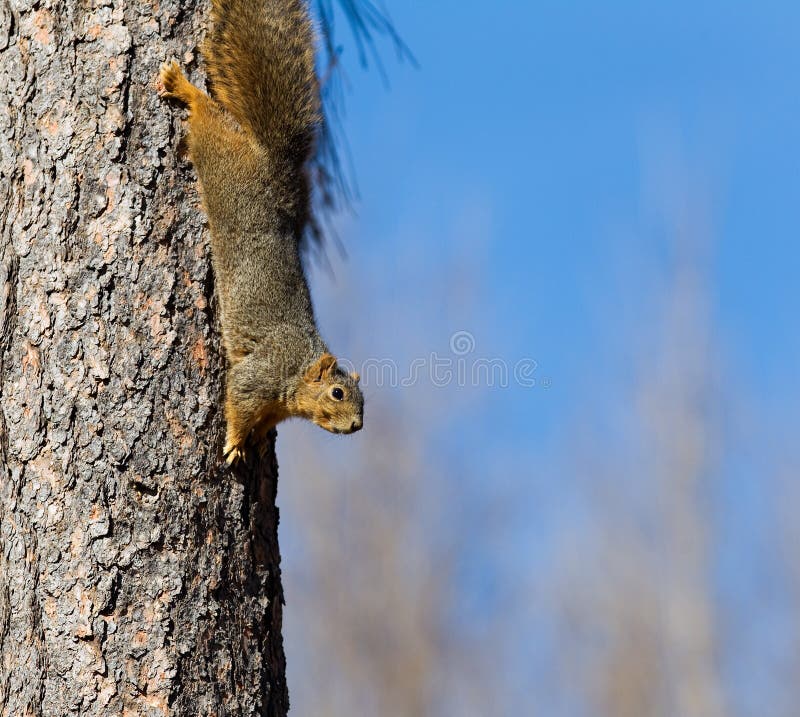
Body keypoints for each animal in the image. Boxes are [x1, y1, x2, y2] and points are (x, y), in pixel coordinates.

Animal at [159, 0, 364, 463]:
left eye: (364, 398)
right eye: (338, 393)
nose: (359, 426)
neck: (298, 371)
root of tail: (269, 163)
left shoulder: (275, 408)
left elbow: (262, 422)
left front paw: (251, 441)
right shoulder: (259, 376)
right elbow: (237, 400)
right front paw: (235, 443)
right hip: (219, 160)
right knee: (207, 118)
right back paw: (184, 87)